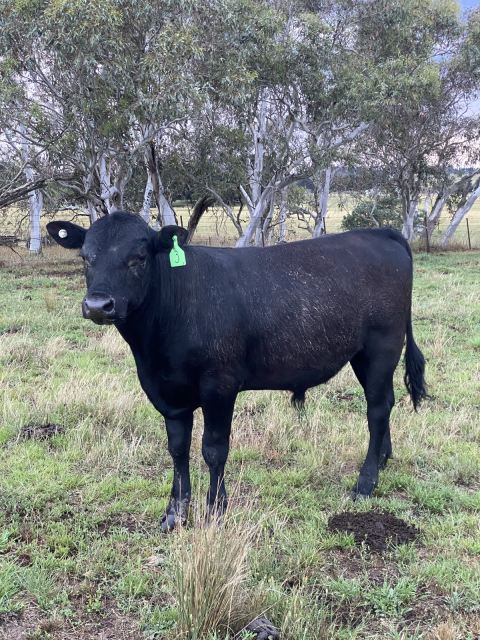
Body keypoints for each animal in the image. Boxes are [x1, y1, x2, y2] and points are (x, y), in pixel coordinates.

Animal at [47, 211, 427, 532]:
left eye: (138, 258)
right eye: (86, 258)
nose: (98, 305)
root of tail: (379, 232)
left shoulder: (220, 386)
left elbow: (214, 449)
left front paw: (216, 512)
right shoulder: (167, 393)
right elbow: (178, 448)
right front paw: (175, 514)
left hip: (381, 348)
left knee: (376, 409)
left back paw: (365, 482)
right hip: (363, 355)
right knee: (386, 404)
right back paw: (384, 458)